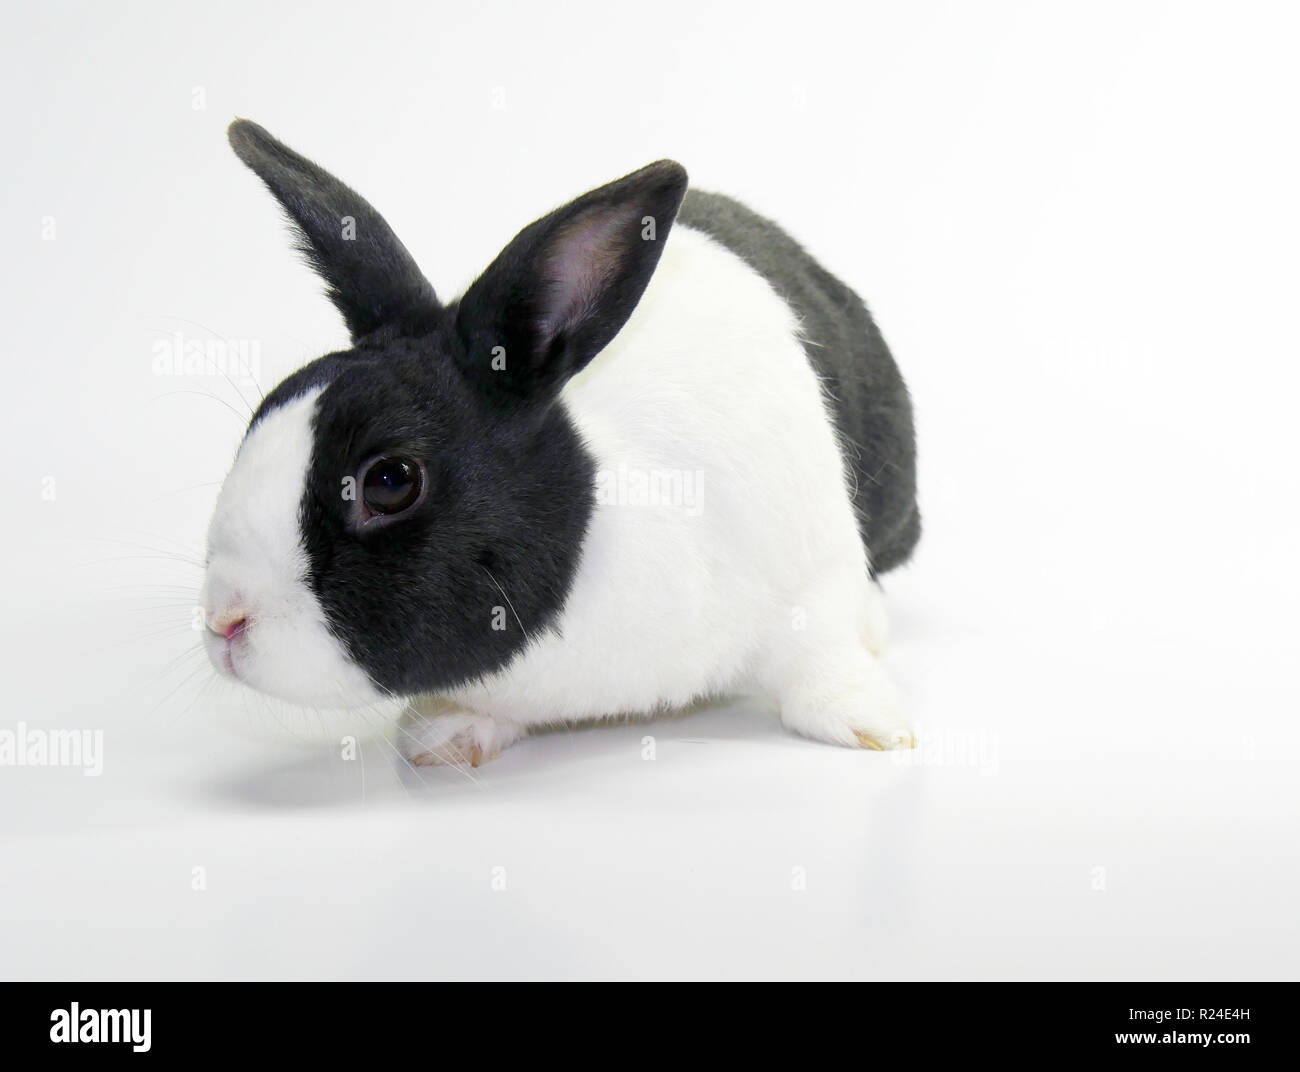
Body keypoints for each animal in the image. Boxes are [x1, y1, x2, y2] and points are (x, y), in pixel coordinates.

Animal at [201, 118, 920, 767]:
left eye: (390, 480)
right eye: (259, 418)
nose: (223, 621)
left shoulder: (809, 575)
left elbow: (819, 659)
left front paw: (874, 725)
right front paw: (441, 736)